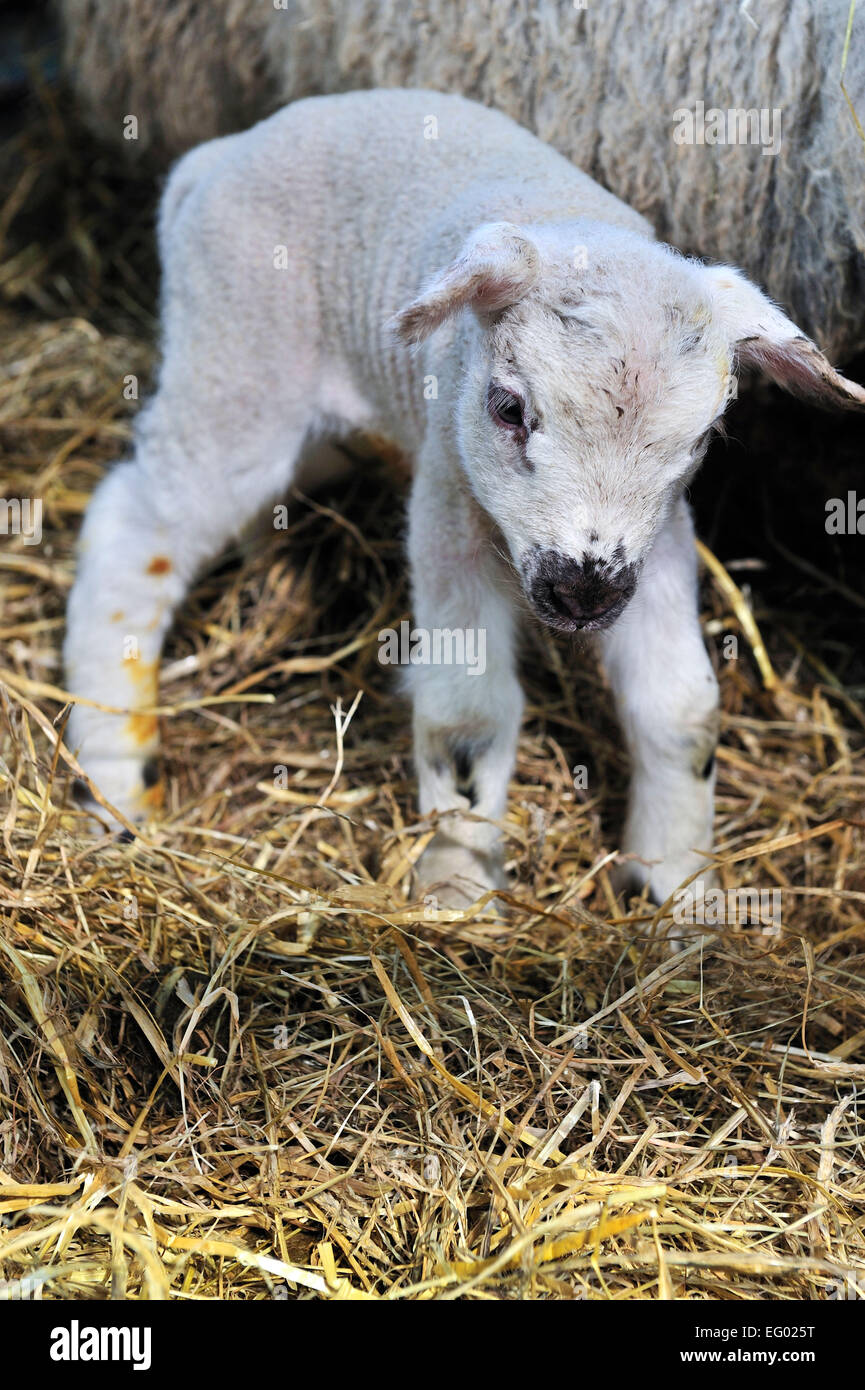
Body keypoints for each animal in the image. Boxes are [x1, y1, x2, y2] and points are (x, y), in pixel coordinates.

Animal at [62, 89, 865, 909]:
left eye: (704, 438)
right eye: (508, 409)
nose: (582, 592)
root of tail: (217, 158)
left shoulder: (659, 537)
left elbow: (681, 706)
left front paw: (678, 891)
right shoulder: (449, 503)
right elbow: (466, 718)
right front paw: (457, 890)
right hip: (236, 368)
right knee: (133, 528)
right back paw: (116, 776)